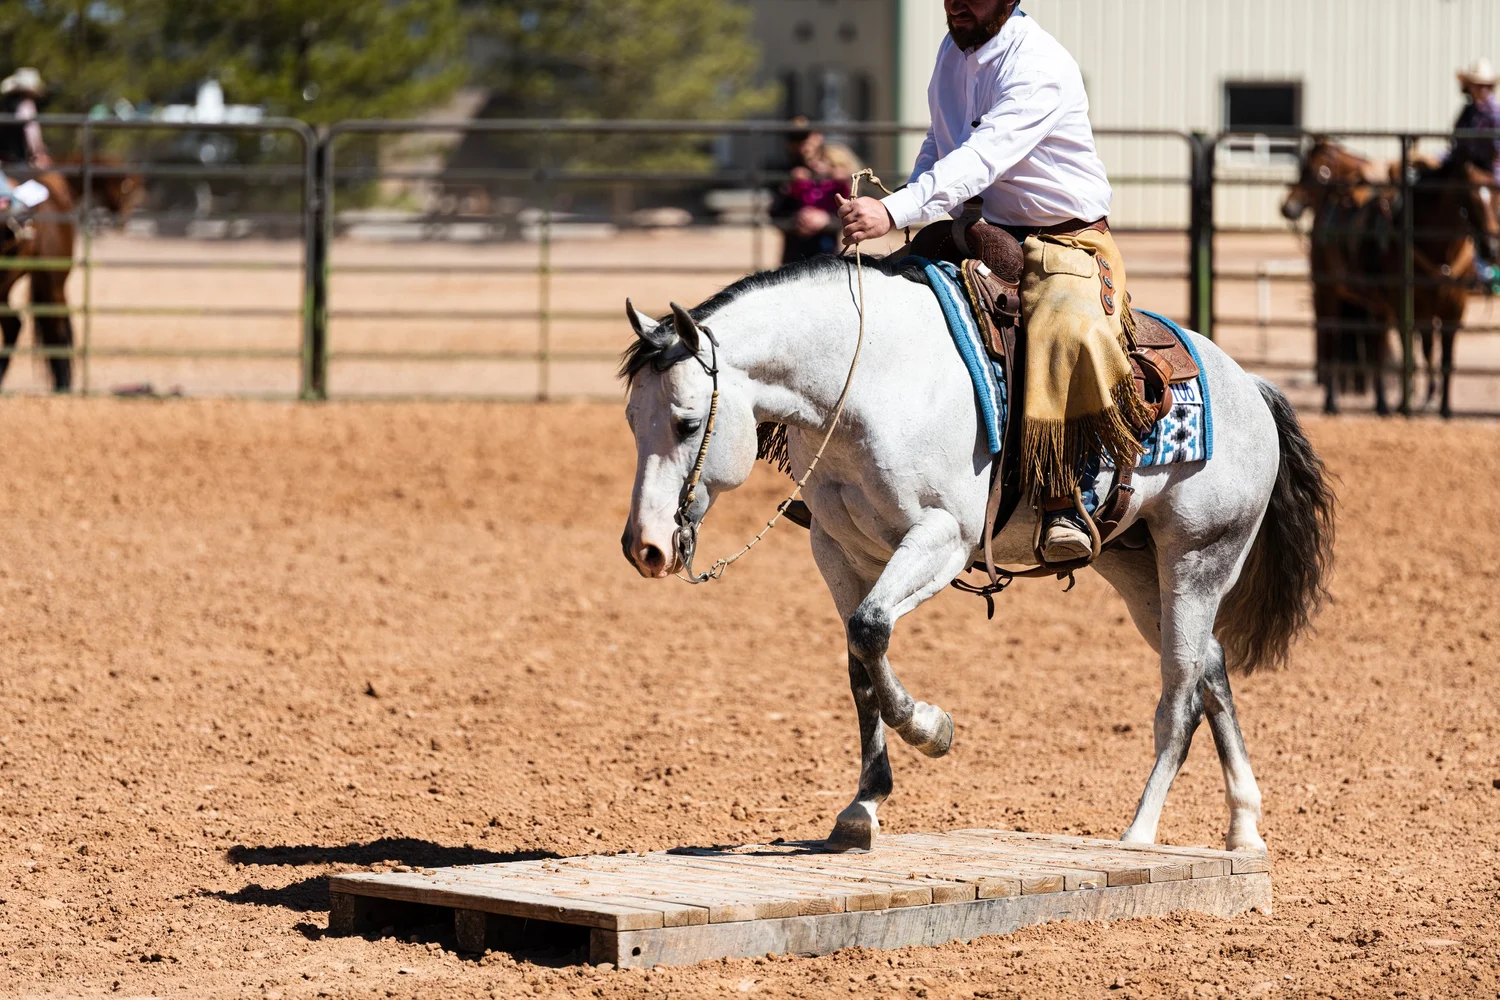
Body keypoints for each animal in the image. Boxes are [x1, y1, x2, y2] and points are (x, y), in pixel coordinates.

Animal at [0, 158, 142, 392]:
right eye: (127, 188)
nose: (125, 219)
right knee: (20, 325)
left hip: (50, 280)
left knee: (53, 328)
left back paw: (62, 385)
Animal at [619, 256, 1335, 854]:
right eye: (630, 419)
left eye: (687, 422)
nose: (644, 547)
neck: (875, 380)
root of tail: (1249, 384)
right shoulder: (838, 550)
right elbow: (859, 662)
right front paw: (863, 807)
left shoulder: (942, 537)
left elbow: (872, 629)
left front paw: (930, 728)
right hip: (1136, 568)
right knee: (1210, 665)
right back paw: (1244, 826)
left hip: (1199, 558)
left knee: (1181, 693)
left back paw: (1139, 834)